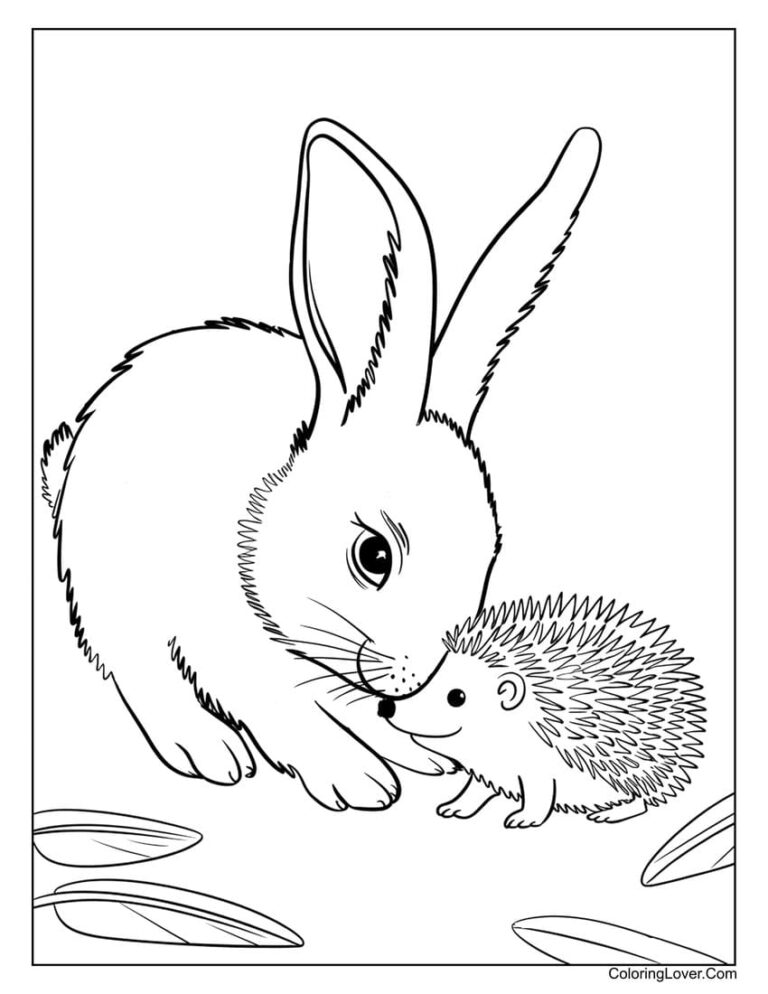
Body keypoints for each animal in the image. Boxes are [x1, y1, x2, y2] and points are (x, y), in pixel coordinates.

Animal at [41, 118, 601, 811]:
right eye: (373, 555)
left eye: (489, 557)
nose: (429, 679)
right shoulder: (230, 643)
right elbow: (286, 711)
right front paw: (357, 779)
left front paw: (416, 753)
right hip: (111, 583)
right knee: (136, 669)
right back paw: (207, 749)